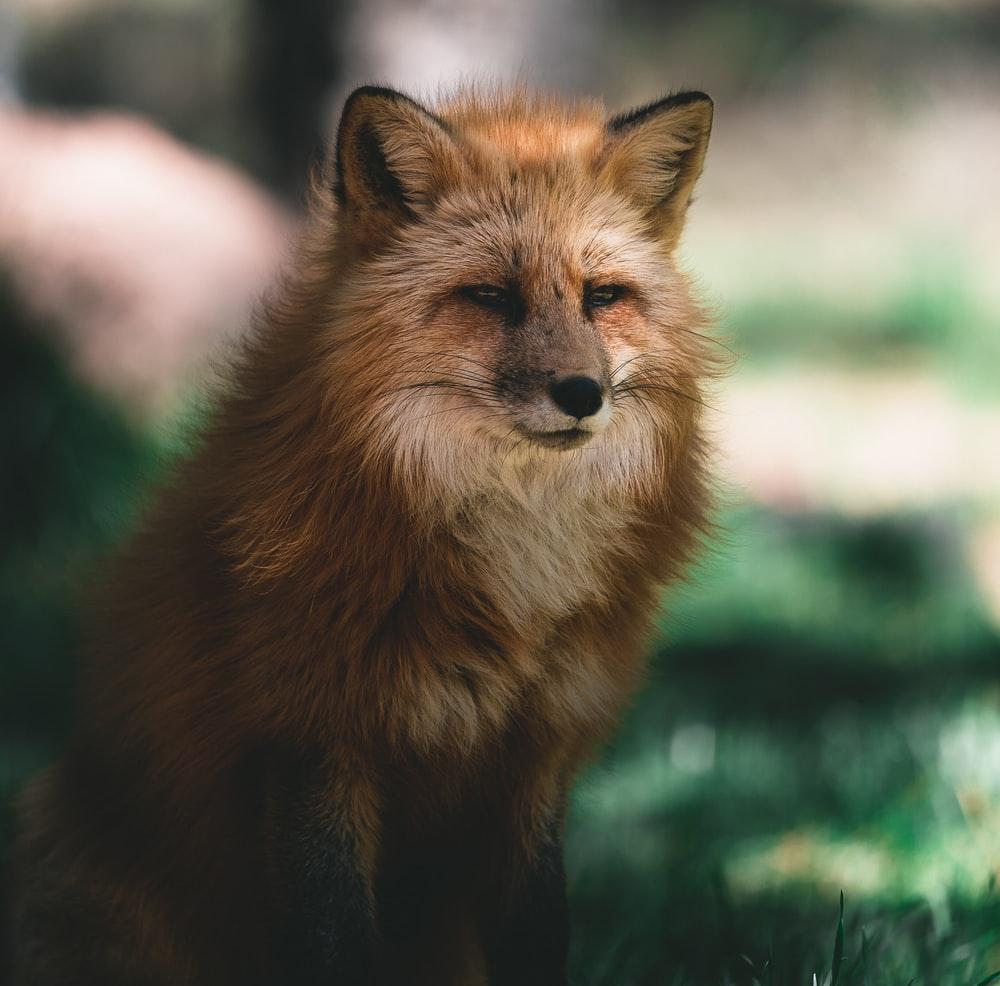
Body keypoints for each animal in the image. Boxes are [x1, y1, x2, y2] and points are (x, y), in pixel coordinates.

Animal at [9, 84, 717, 985]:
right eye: (492, 297)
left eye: (602, 297)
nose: (581, 394)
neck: (513, 571)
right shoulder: (312, 742)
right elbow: (335, 941)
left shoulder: (533, 757)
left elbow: (538, 936)